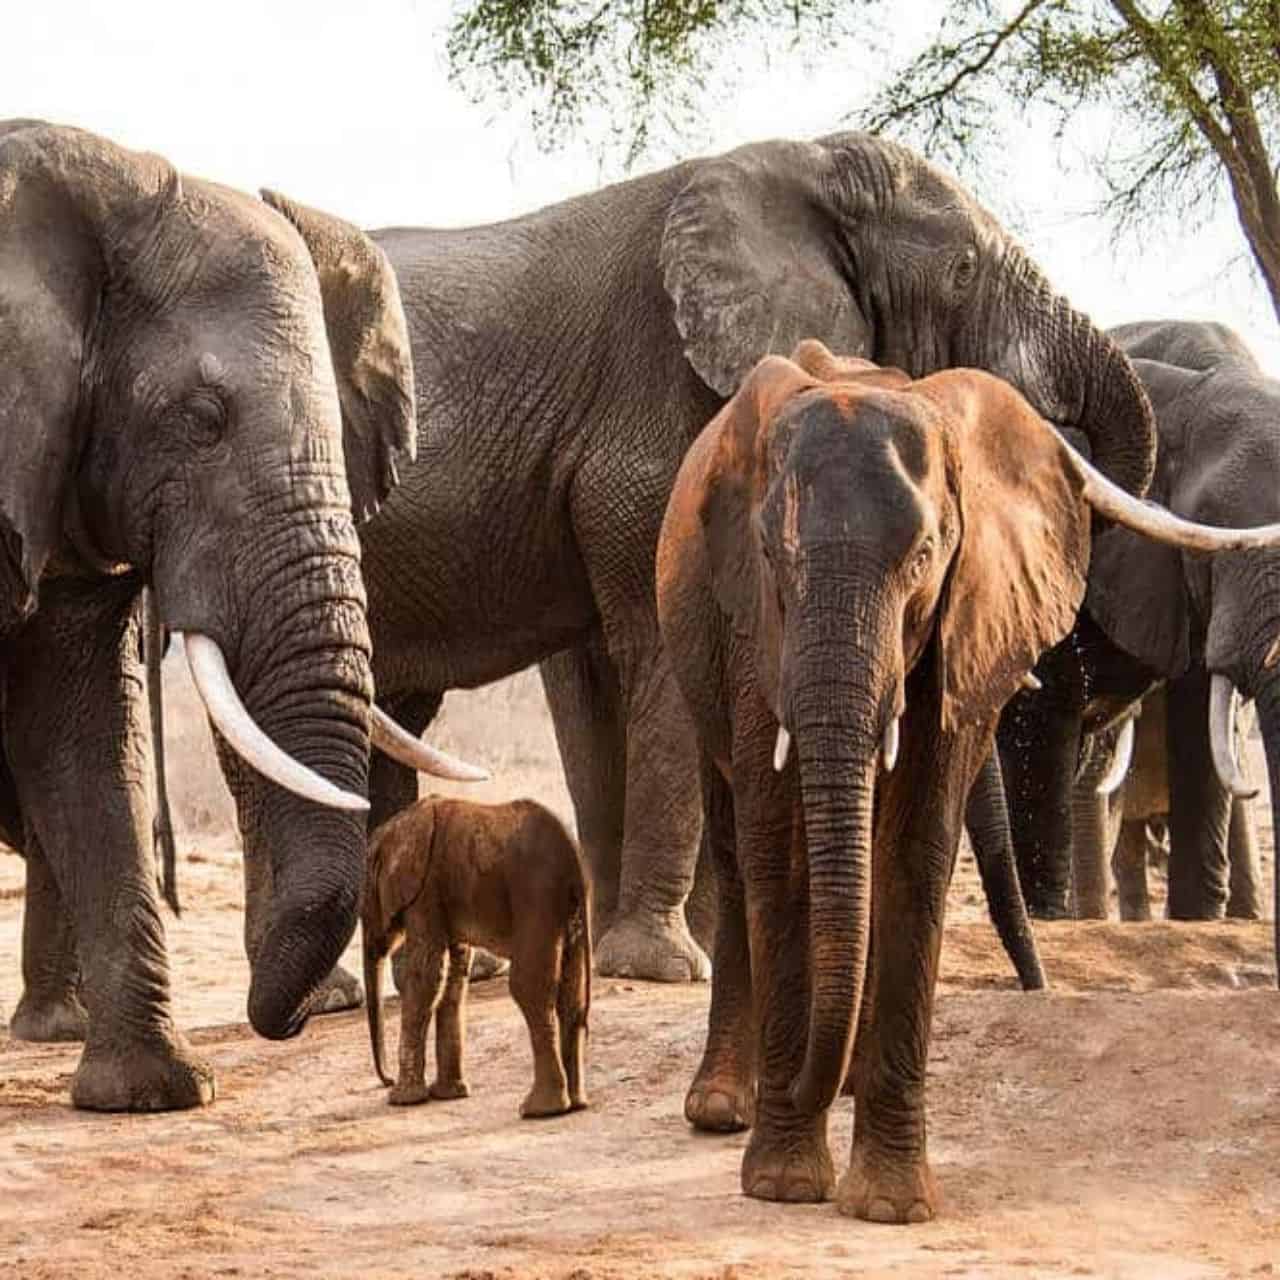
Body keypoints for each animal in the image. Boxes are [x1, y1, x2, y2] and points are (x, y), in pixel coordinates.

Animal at [234, 131, 1162, 1000]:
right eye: (964, 271)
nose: (1035, 985)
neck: (796, 163)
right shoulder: (655, 414)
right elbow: (659, 658)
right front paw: (661, 966)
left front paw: (683, 950)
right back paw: (328, 996)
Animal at [362, 795, 590, 1116]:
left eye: (366, 898)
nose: (386, 1080)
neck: (397, 826)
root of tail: (574, 860)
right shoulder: (445, 895)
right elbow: (452, 979)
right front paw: (449, 1095)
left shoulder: (426, 892)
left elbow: (426, 977)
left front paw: (402, 1099)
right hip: (569, 912)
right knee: (572, 995)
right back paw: (577, 1103)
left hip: (537, 899)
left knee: (528, 988)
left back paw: (538, 1110)